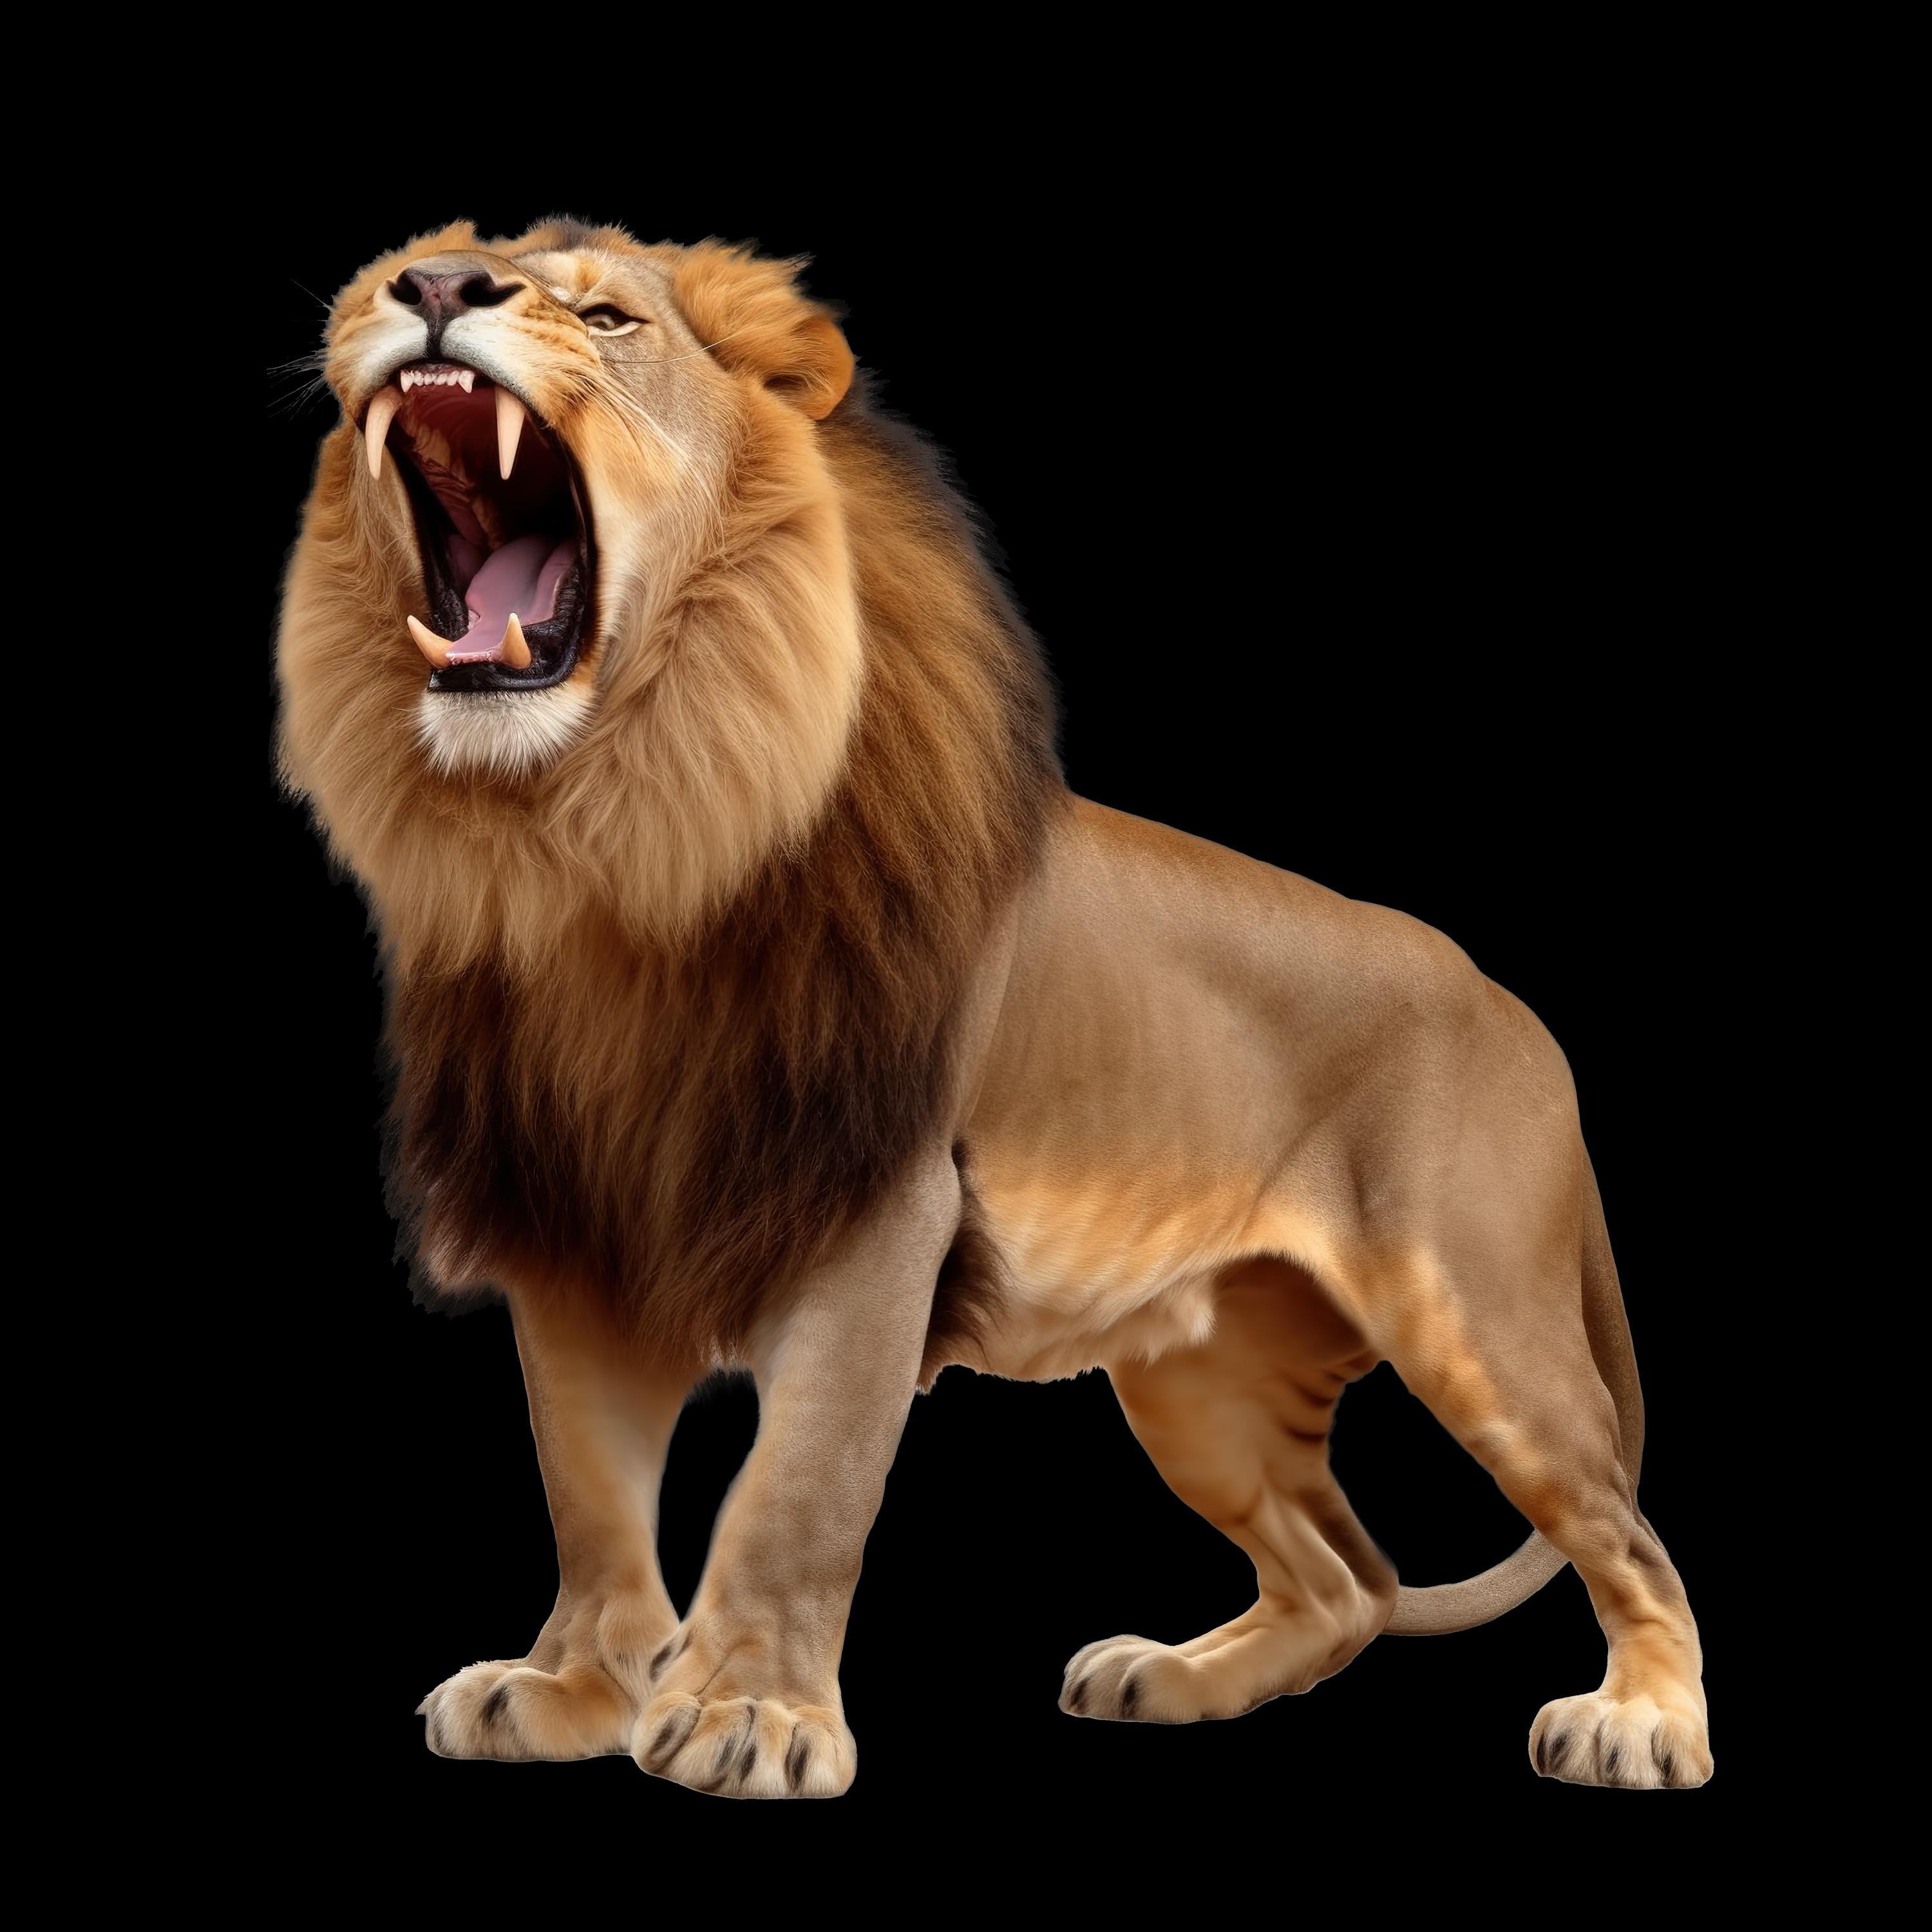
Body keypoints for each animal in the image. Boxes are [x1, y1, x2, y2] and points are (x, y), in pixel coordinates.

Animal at [276, 217, 1713, 1798]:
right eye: (416, 262)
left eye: (604, 317)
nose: (431, 291)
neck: (604, 851)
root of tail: (1513, 1002)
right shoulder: (570, 1214)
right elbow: (589, 1489)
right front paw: (575, 1686)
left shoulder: (882, 1208)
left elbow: (799, 1482)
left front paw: (747, 1712)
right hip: (1205, 1378)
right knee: (1346, 1578)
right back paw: (1173, 1677)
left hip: (1483, 1321)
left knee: (1628, 1536)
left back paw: (1644, 1720)